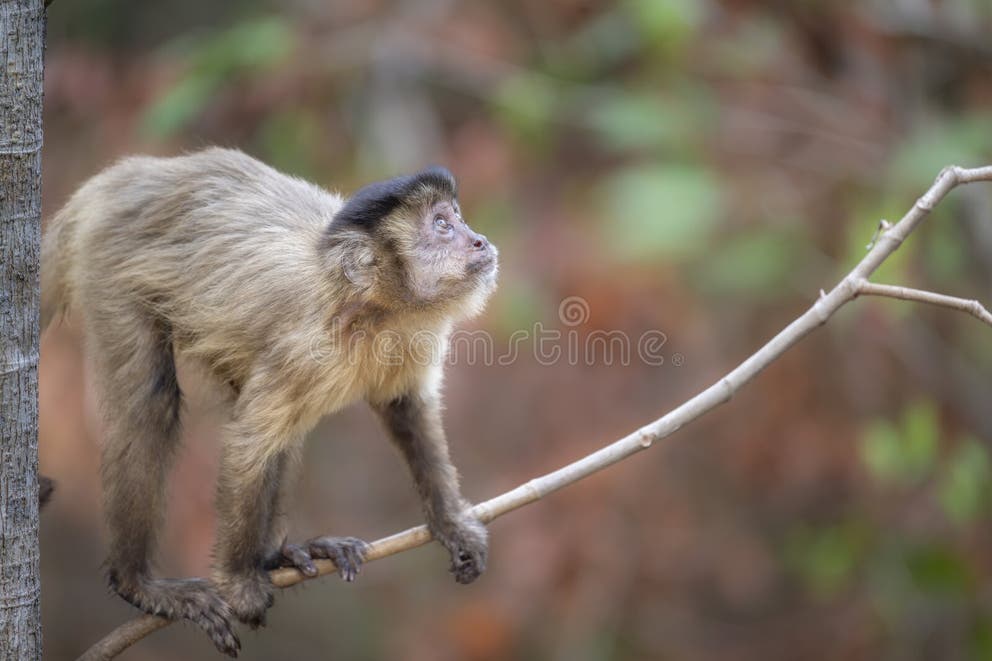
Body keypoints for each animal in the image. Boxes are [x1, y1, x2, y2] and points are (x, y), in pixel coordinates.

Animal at [41, 148, 498, 656]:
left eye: (457, 217)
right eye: (441, 225)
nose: (479, 240)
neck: (365, 304)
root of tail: (126, 178)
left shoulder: (411, 335)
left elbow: (404, 406)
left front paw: (450, 524)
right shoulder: (308, 346)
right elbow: (248, 443)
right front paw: (239, 583)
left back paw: (277, 556)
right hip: (109, 262)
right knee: (151, 407)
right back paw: (138, 583)